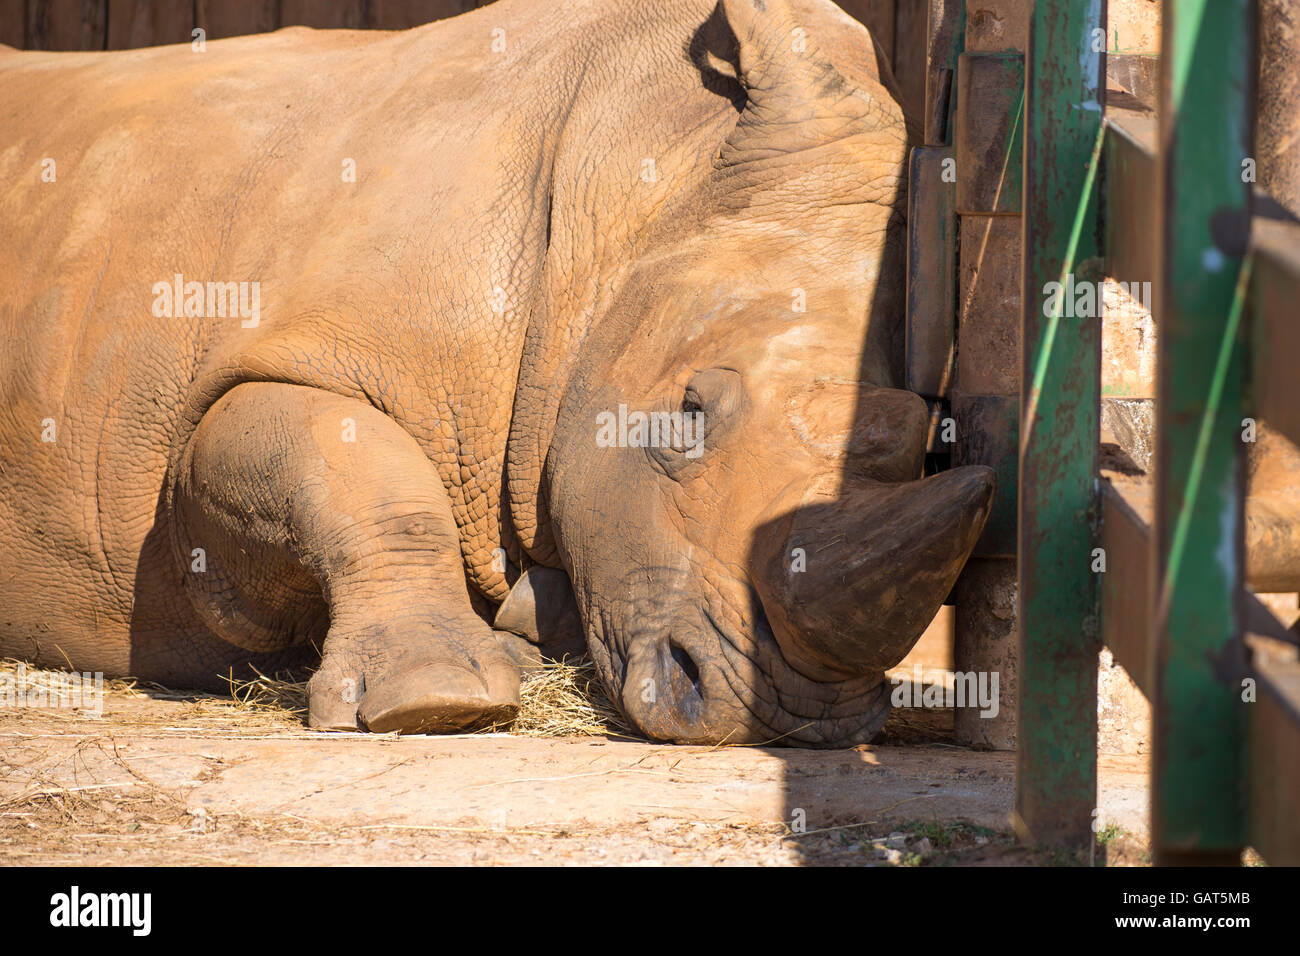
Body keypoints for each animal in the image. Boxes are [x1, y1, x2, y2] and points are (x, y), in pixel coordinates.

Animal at [0, 0, 993, 746]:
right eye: (687, 416)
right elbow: (349, 466)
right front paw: (439, 699)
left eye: (925, 442)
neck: (645, 192)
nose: (789, 715)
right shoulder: (251, 381)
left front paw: (525, 626)